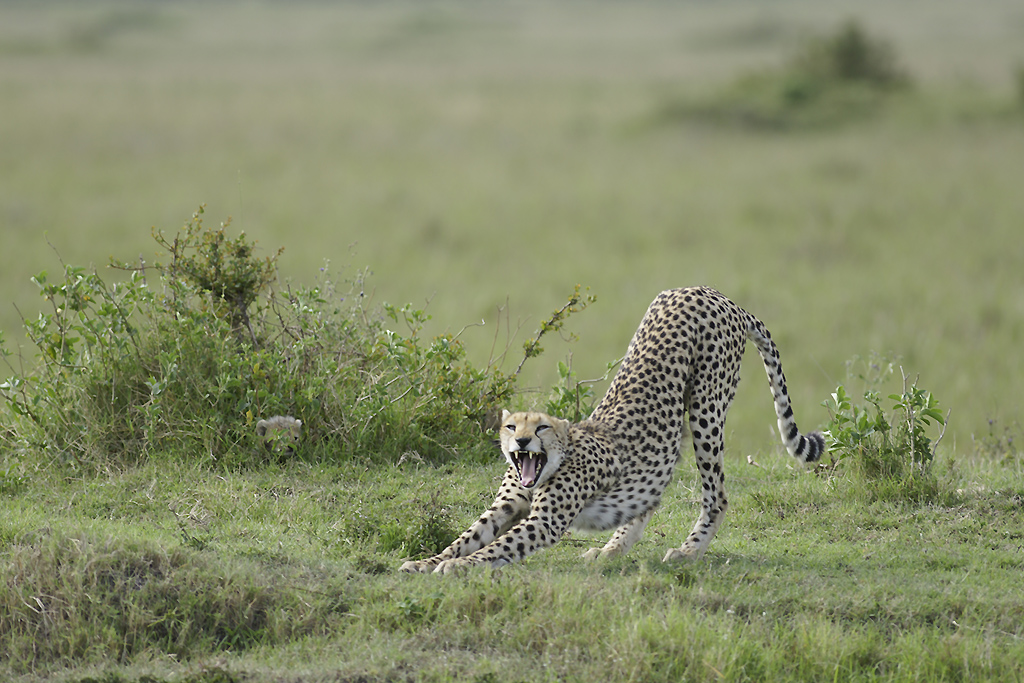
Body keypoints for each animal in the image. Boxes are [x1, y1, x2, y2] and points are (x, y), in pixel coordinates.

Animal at [400, 286, 825, 574]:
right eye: (510, 426)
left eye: (541, 427)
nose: (521, 440)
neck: (557, 459)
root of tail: (713, 293)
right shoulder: (506, 506)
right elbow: (469, 536)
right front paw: (428, 561)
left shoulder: (545, 521)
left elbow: (498, 545)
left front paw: (459, 566)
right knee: (651, 493)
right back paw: (611, 550)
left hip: (706, 410)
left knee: (716, 494)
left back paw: (687, 552)